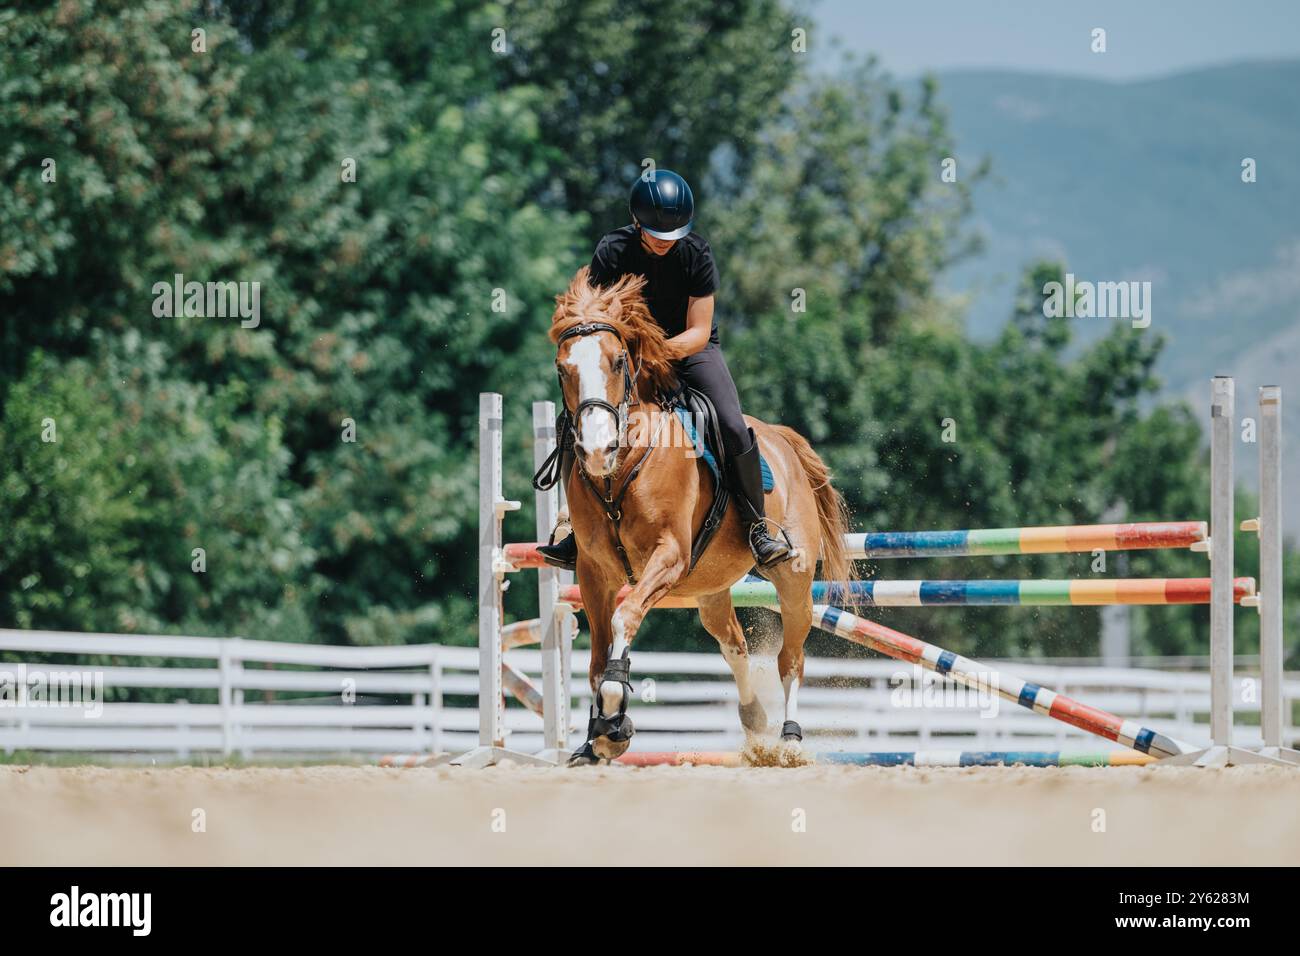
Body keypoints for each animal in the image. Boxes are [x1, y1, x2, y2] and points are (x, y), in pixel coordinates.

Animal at [546, 267, 854, 765]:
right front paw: (597, 737)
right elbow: (594, 660)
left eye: (618, 361)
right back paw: (755, 722)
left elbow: (624, 618)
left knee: (791, 657)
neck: (621, 471)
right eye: (563, 369)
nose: (596, 450)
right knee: (734, 645)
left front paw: (614, 718)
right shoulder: (594, 573)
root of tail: (782, 439)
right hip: (709, 591)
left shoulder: (668, 557)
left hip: (794, 576)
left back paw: (789, 739)